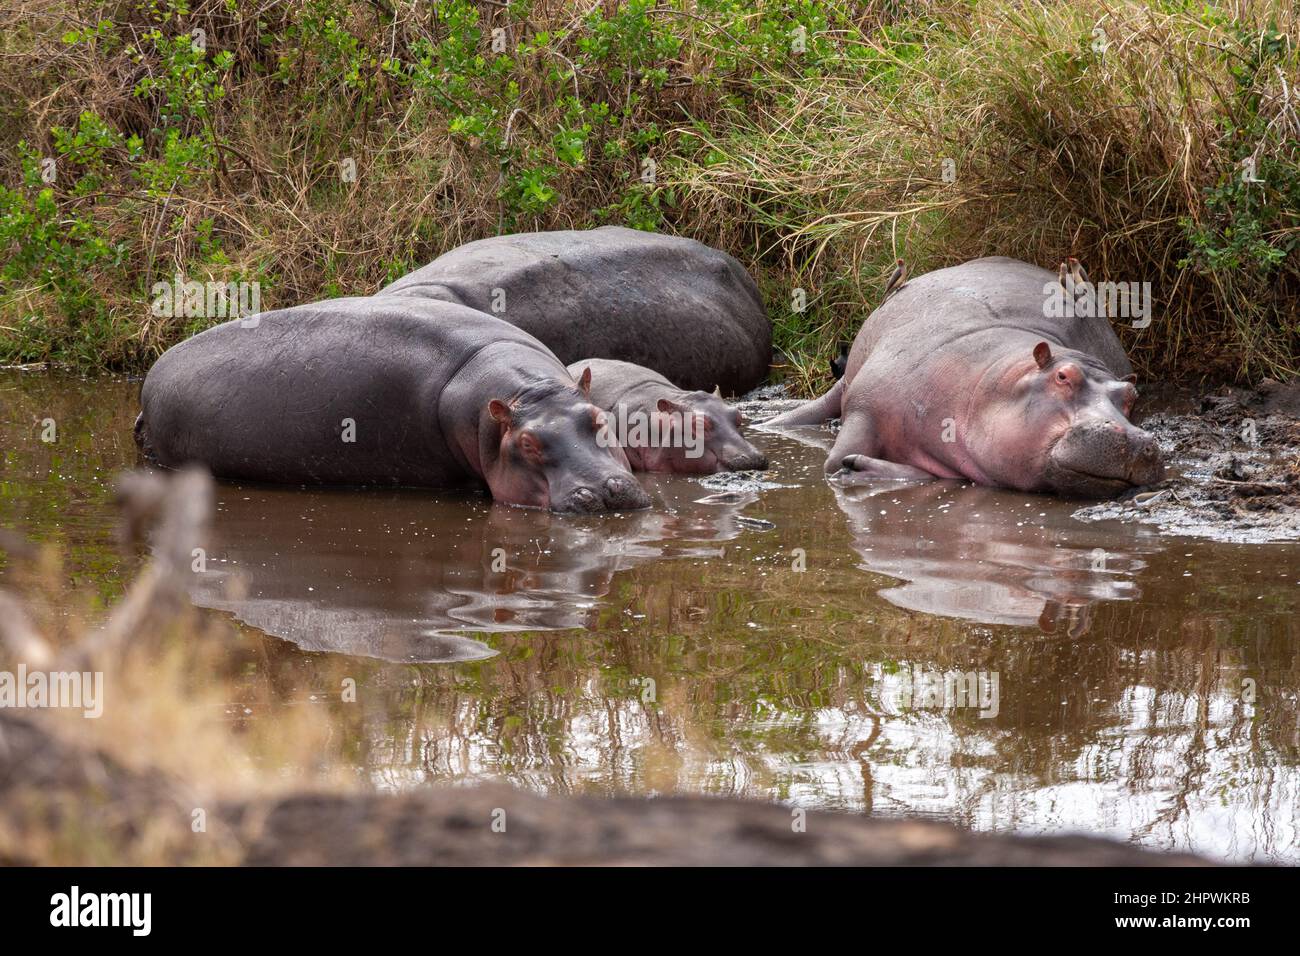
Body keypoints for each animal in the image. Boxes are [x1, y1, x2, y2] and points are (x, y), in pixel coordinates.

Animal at [762, 257, 1164, 497]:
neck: (993, 381)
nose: (1133, 438)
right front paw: (851, 466)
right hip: (850, 384)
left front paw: (857, 466)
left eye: (1130, 395)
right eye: (1063, 377)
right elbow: (832, 465)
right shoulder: (866, 408)